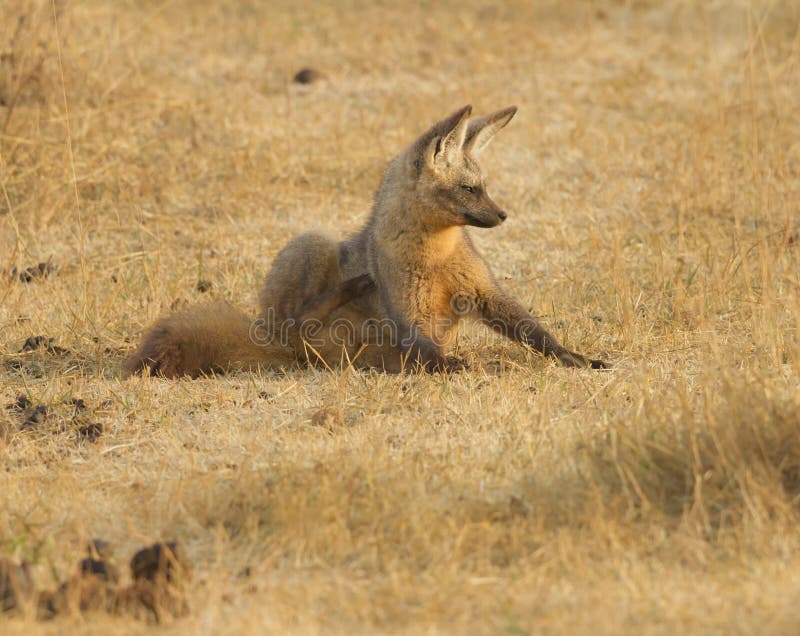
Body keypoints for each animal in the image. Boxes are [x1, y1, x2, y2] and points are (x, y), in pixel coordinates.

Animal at [124, 105, 607, 378]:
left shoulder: (485, 294)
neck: (436, 255)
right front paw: (452, 366)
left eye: (485, 187)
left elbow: (536, 333)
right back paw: (353, 289)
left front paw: (576, 357)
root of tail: (267, 337)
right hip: (313, 243)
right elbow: (430, 351)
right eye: (470, 189)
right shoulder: (410, 315)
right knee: (296, 320)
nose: (503, 214)